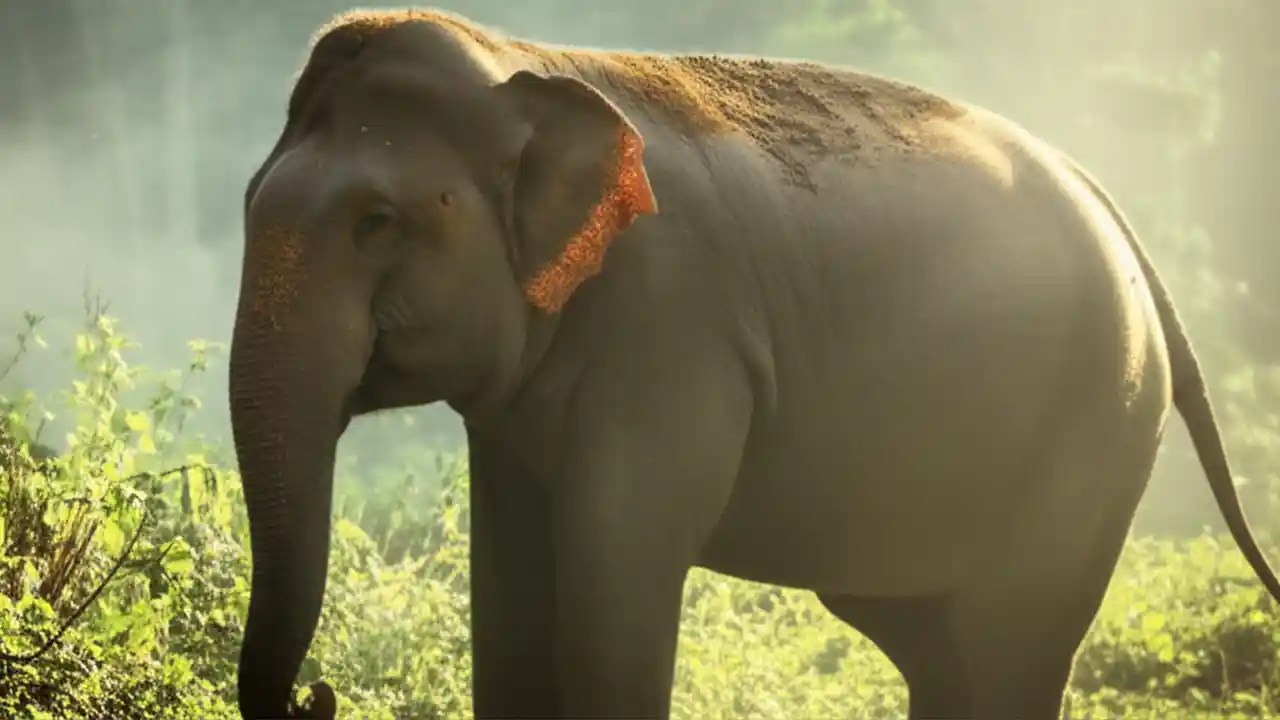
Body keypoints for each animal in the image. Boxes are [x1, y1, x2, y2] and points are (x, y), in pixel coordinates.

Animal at [227, 8, 1280, 720]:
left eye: (376, 223)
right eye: (249, 204)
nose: (320, 693)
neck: (519, 62)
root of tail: (1122, 224)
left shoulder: (670, 330)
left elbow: (615, 591)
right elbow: (512, 595)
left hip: (1092, 439)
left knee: (1006, 649)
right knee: (940, 649)